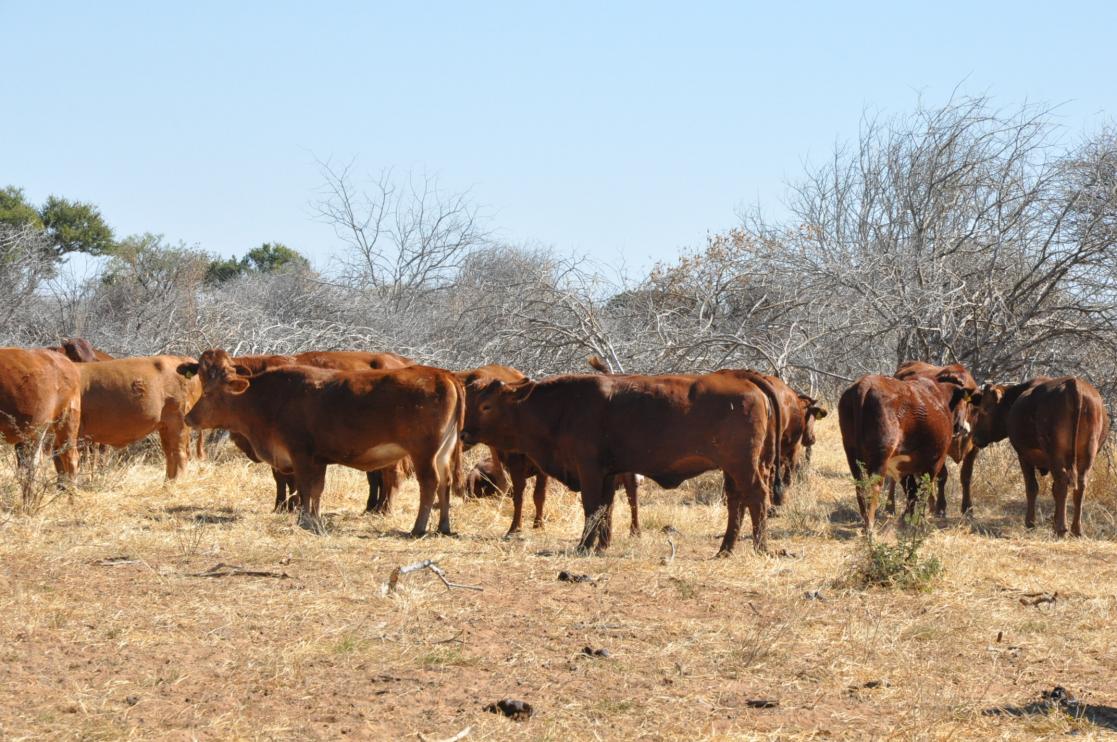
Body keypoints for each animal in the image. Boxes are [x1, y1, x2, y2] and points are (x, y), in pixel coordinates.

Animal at [179, 350, 463, 536]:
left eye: (209, 393)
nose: (189, 417)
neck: (267, 397)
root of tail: (442, 374)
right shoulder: (316, 460)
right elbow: (315, 490)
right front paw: (312, 517)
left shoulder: (302, 455)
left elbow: (306, 488)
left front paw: (304, 519)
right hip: (443, 453)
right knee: (445, 483)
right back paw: (444, 527)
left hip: (424, 453)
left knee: (428, 483)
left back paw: (418, 528)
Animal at [461, 371, 782, 556]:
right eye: (470, 403)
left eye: (487, 406)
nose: (463, 434)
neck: (563, 407)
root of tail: (745, 379)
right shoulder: (607, 474)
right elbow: (606, 509)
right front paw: (601, 545)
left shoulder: (589, 471)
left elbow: (593, 508)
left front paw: (583, 546)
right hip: (733, 470)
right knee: (736, 502)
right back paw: (725, 549)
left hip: (743, 466)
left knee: (756, 497)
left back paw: (760, 547)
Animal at [838, 374, 970, 531]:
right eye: (965, 404)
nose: (962, 427)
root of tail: (865, 384)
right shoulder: (935, 461)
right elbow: (924, 489)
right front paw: (919, 520)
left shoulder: (903, 466)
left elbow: (911, 491)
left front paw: (907, 518)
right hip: (880, 456)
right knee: (875, 486)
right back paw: (869, 525)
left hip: (851, 453)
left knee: (860, 485)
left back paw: (865, 519)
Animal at [892, 361, 980, 516]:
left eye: (963, 400)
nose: (959, 426)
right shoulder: (940, 450)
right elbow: (942, 476)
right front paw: (941, 507)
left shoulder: (973, 448)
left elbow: (966, 476)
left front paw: (967, 508)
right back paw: (889, 507)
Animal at [969, 376, 1109, 537]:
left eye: (984, 410)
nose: (975, 438)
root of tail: (1073, 385)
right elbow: (1053, 490)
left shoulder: (1023, 456)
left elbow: (1032, 487)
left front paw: (1030, 522)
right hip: (1086, 455)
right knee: (1079, 485)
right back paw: (1076, 529)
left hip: (1055, 455)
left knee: (1062, 483)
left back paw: (1061, 528)